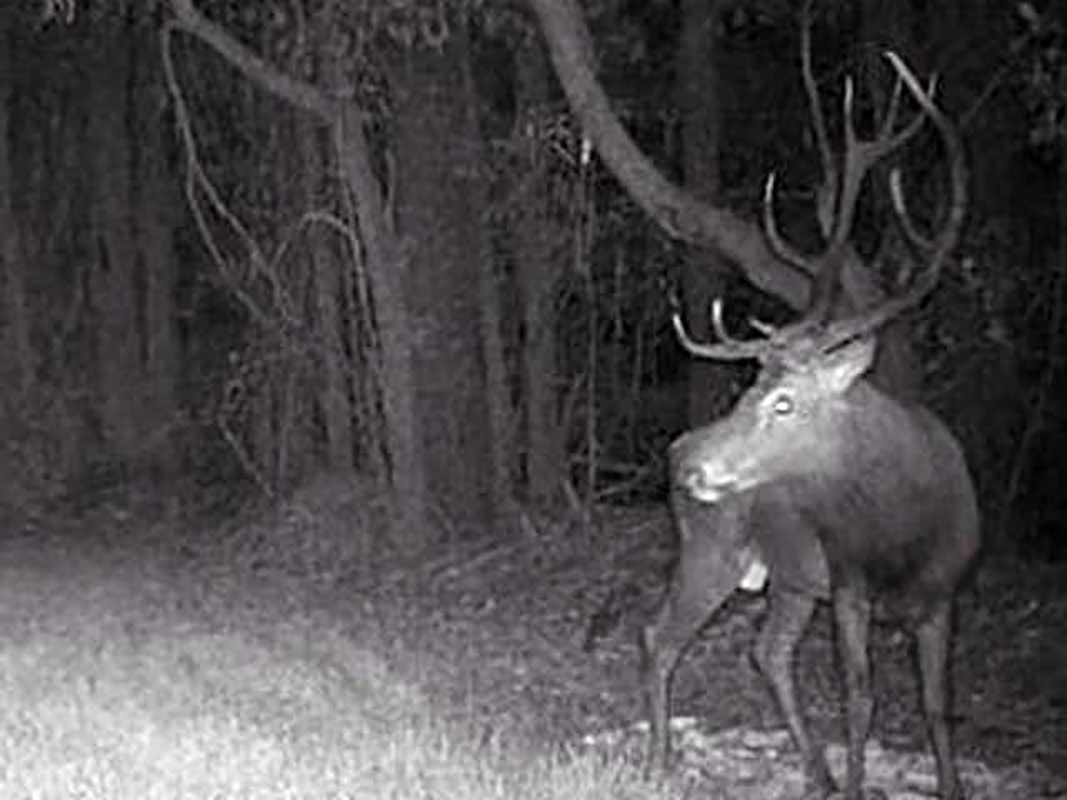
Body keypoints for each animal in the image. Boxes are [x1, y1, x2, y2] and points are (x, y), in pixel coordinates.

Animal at [640, 50, 978, 800]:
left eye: (784, 401)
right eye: (752, 386)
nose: (686, 464)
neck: (906, 527)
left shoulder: (947, 589)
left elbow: (936, 704)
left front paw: (944, 785)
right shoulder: (848, 580)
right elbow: (860, 697)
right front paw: (856, 784)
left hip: (790, 579)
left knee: (766, 652)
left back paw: (813, 771)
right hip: (714, 548)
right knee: (661, 637)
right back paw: (659, 762)